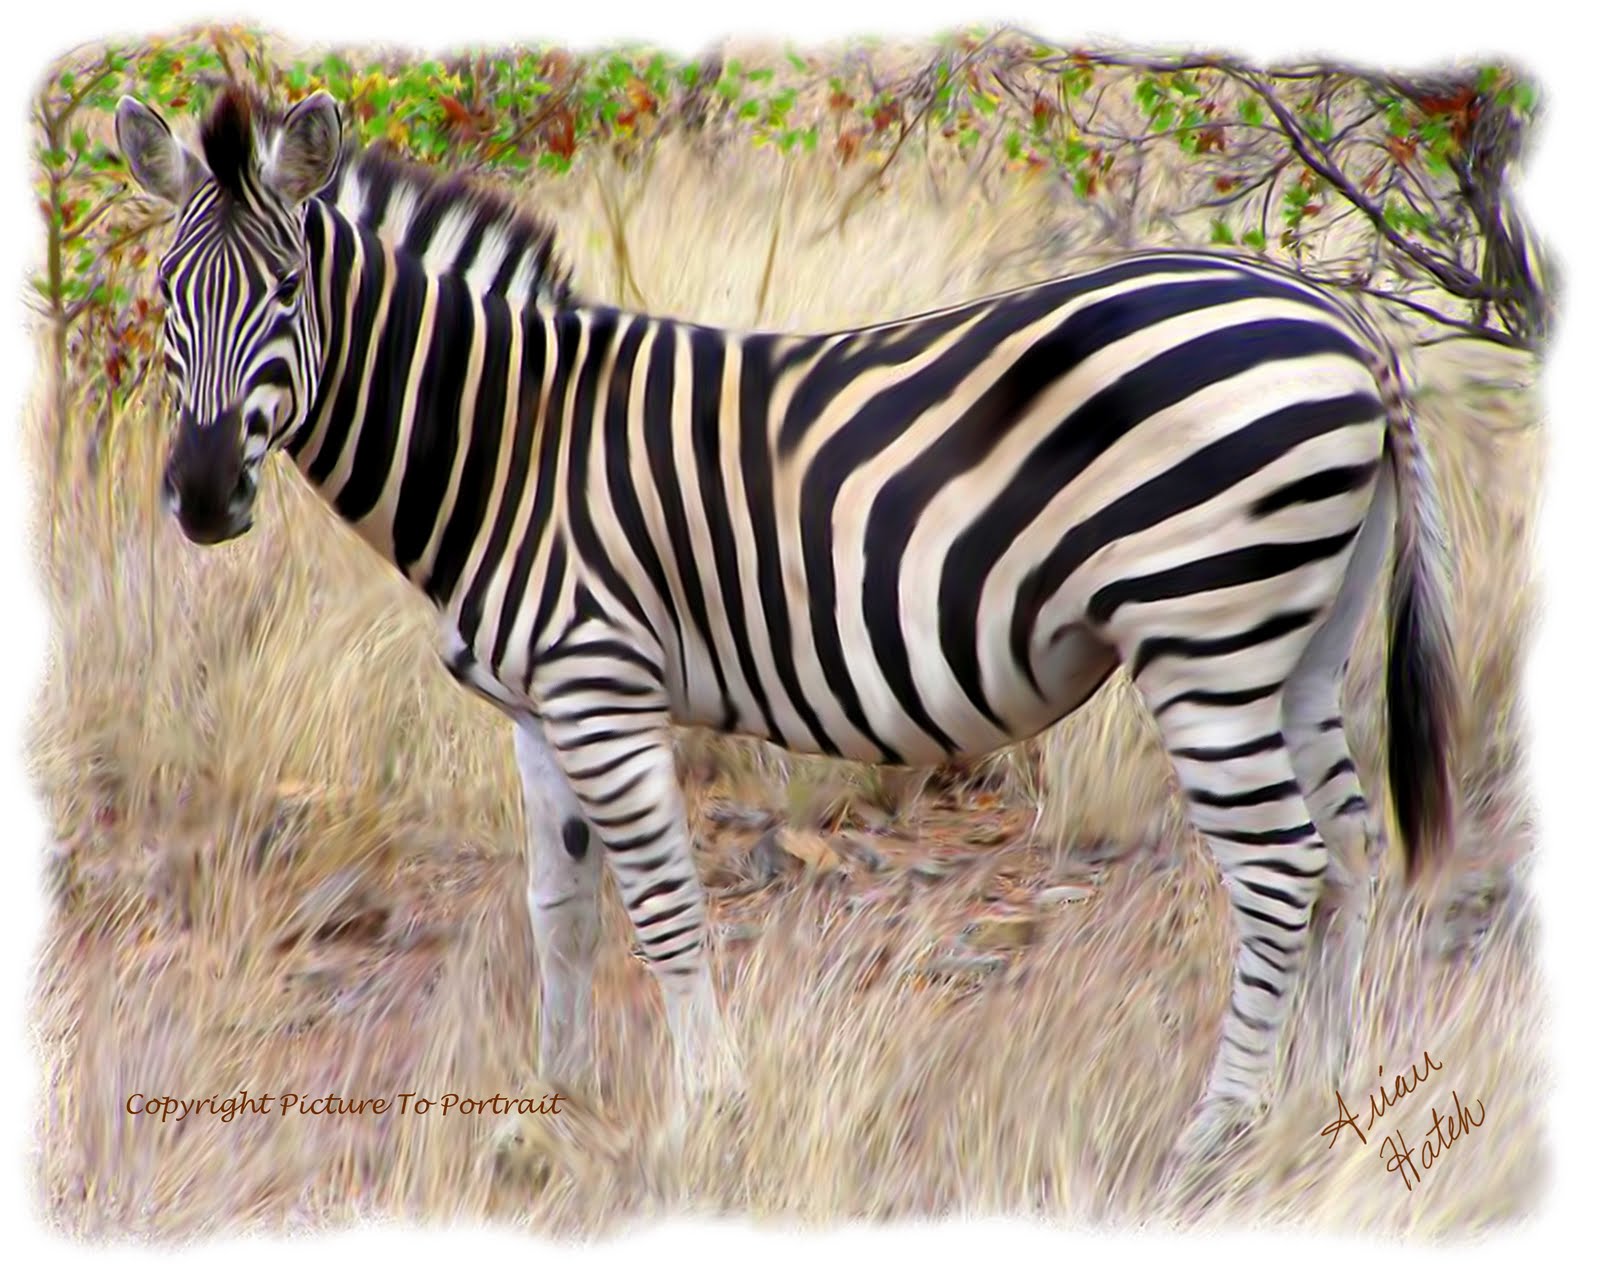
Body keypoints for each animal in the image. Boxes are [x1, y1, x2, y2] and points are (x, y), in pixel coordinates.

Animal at [115, 86, 1456, 1167]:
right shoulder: (538, 708)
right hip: (1300, 641)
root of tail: (1344, 323)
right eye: (165, 296)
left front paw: (701, 1114)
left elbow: (661, 905)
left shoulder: (601, 688)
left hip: (1203, 636)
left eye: (289, 291)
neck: (513, 441)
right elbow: (561, 909)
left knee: (1278, 867)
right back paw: (1329, 1104)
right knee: (1347, 847)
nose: (202, 494)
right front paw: (547, 1111)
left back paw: (1216, 1130)